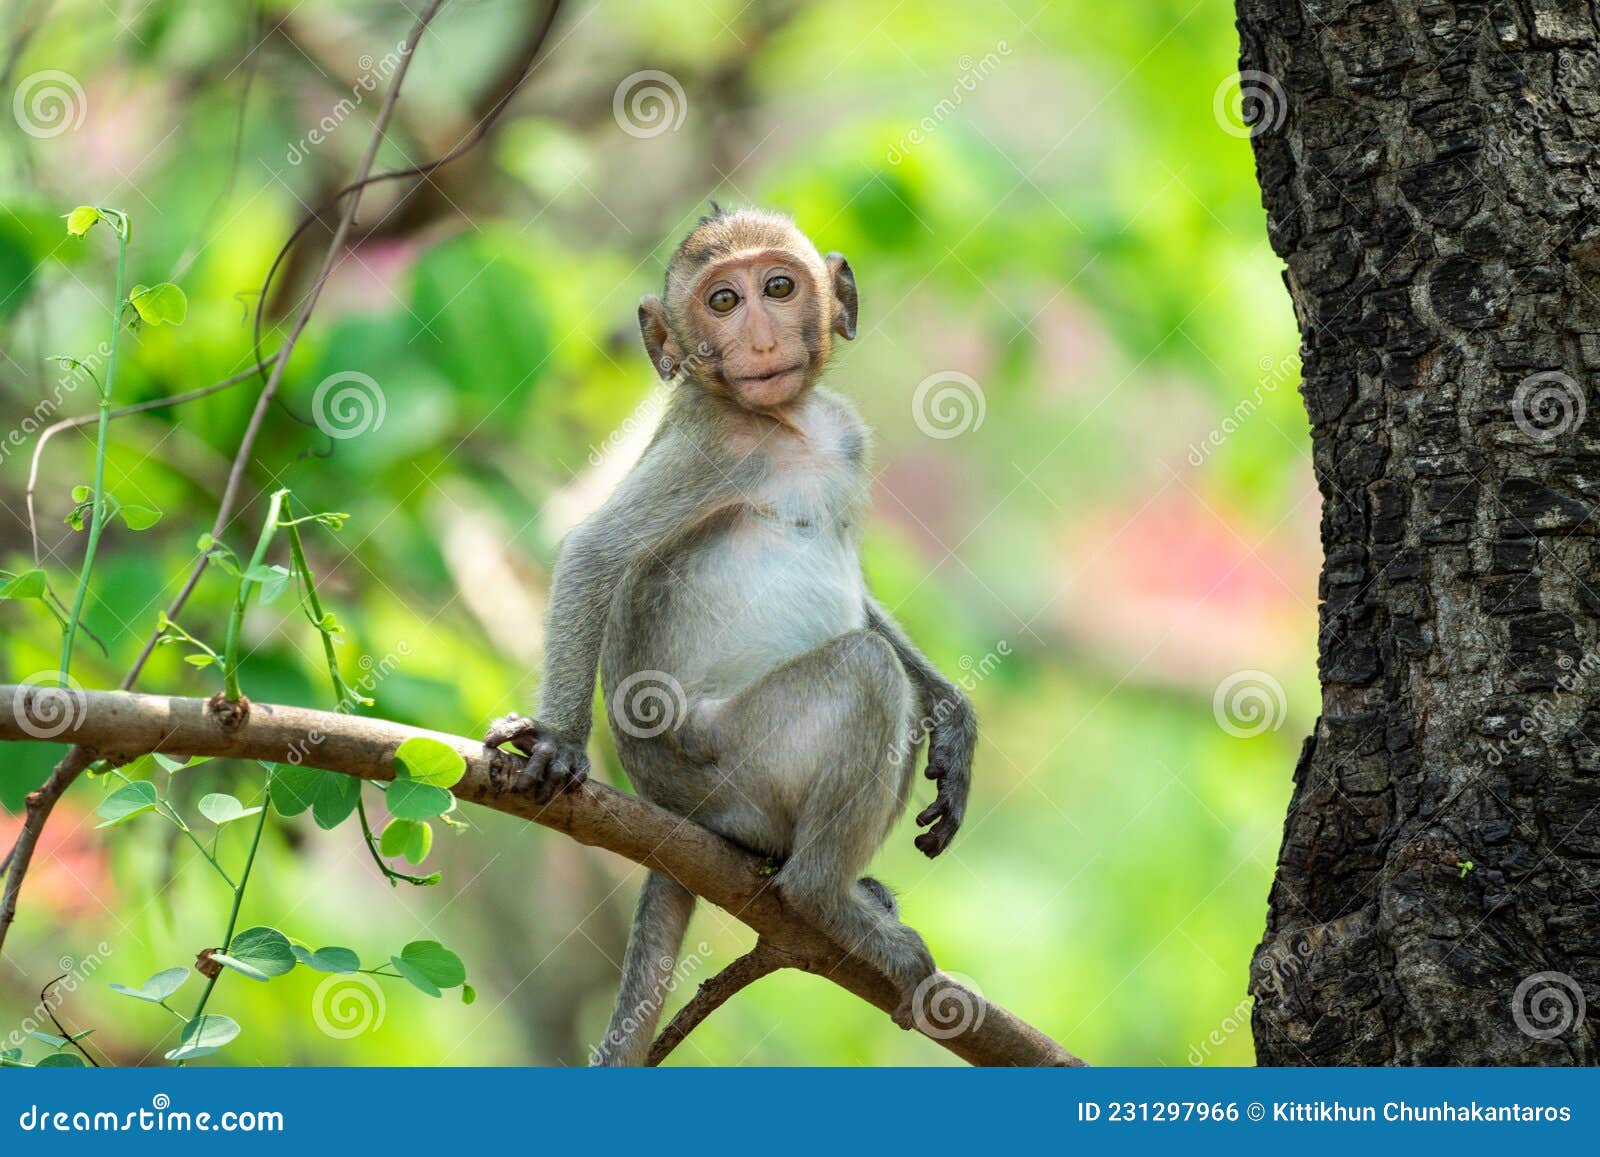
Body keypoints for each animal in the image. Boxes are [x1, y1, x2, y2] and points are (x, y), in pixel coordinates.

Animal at [485, 206, 977, 1066]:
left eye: (778, 287)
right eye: (721, 301)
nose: (757, 337)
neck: (787, 424)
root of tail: (674, 811)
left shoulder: (844, 432)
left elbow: (862, 597)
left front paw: (955, 718)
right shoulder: (713, 443)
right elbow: (595, 553)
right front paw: (558, 743)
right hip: (733, 763)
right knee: (867, 669)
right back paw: (822, 899)